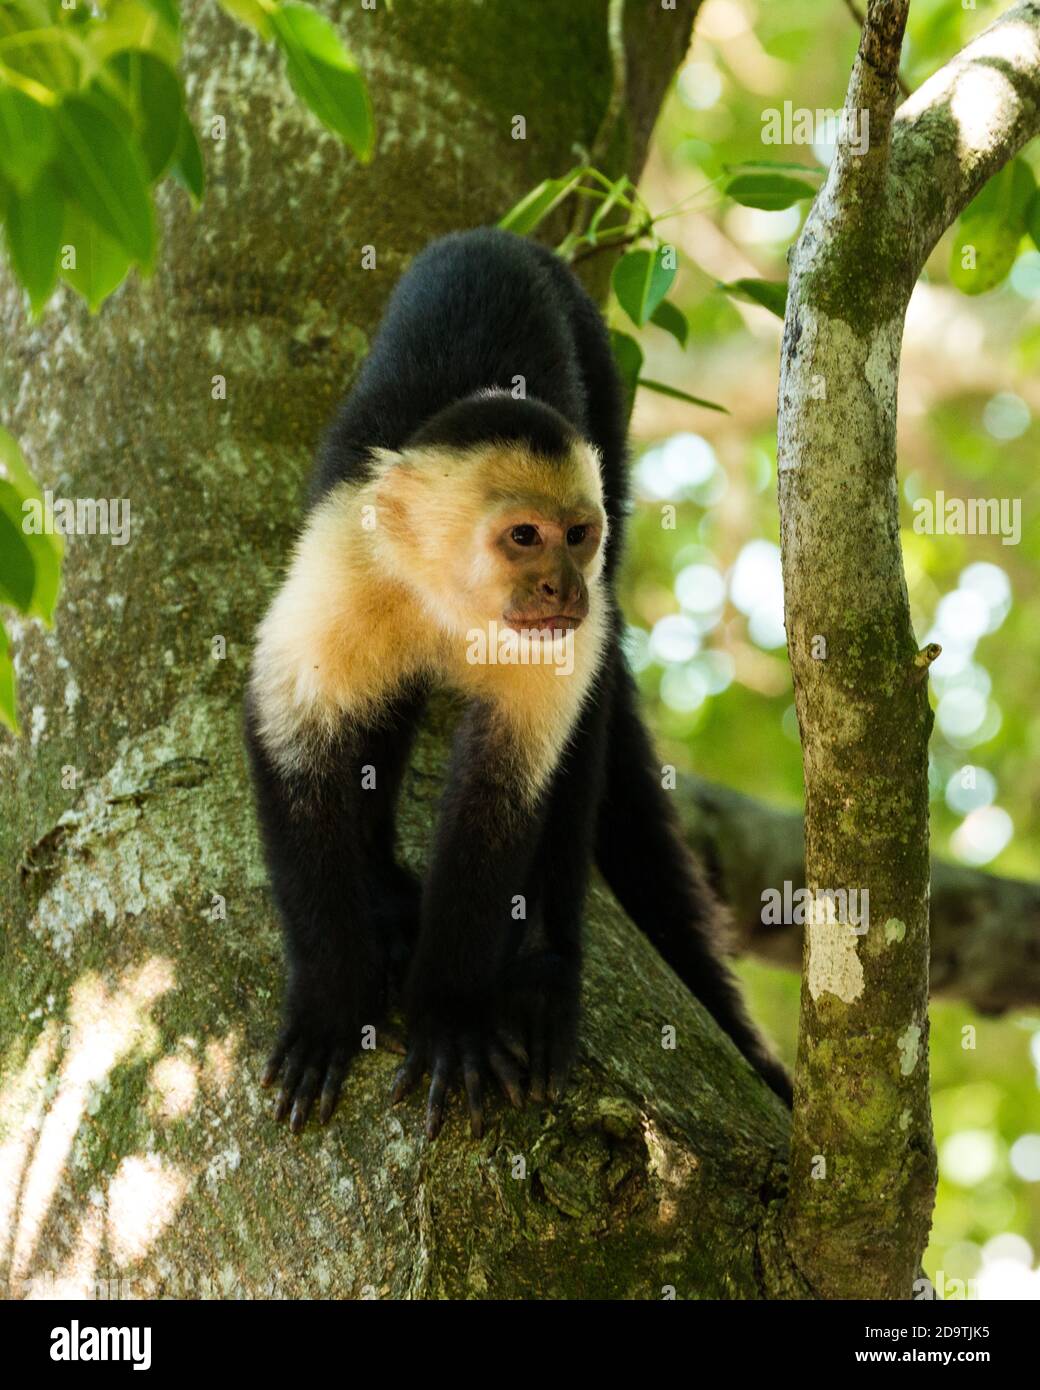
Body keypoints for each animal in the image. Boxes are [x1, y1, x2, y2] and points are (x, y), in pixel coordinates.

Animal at [245, 227, 792, 1139]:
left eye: (575, 535)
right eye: (523, 536)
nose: (563, 588)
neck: (447, 598)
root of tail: (501, 235)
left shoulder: (563, 632)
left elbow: (504, 791)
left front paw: (452, 1015)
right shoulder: (347, 565)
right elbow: (296, 740)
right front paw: (332, 998)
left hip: (604, 380)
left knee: (586, 736)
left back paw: (544, 970)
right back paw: (386, 897)